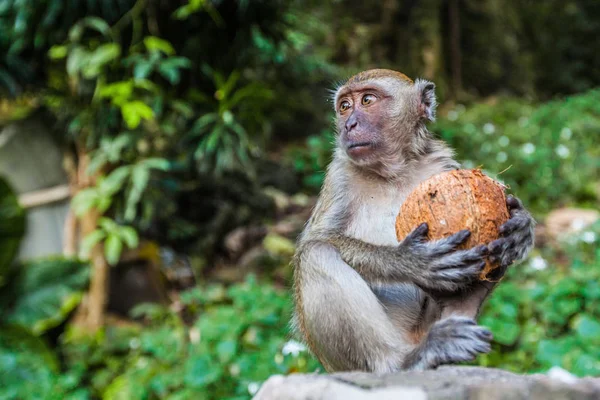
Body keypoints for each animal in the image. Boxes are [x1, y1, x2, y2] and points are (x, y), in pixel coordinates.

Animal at [290, 69, 536, 372]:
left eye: (367, 100)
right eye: (344, 106)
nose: (349, 124)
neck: (393, 171)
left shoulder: (443, 165)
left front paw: (521, 227)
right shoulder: (339, 175)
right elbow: (317, 239)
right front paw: (411, 261)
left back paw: (461, 305)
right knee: (316, 254)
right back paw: (409, 360)